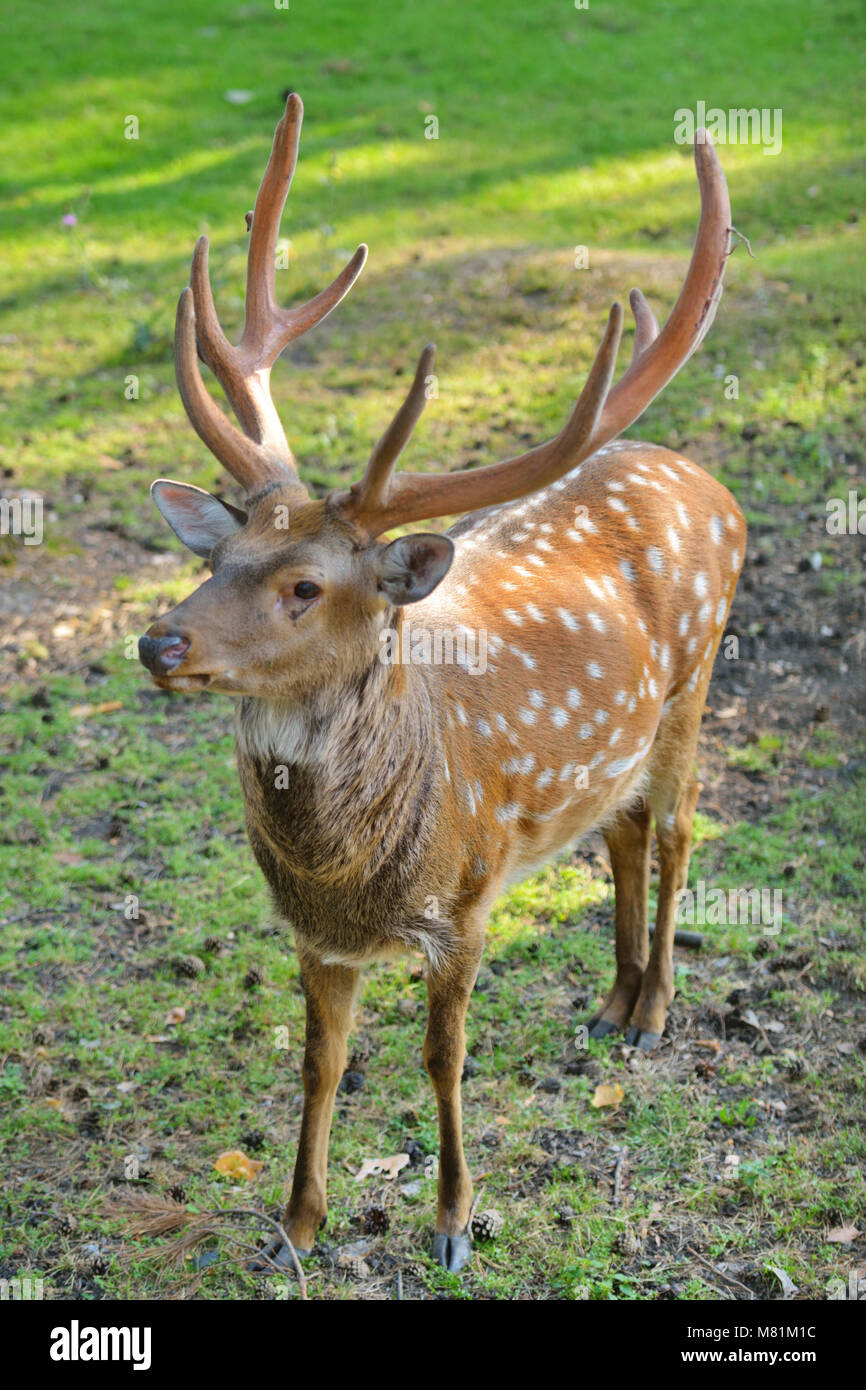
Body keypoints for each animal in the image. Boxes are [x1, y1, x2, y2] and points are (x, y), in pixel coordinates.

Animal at [138, 93, 744, 1274]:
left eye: (305, 585)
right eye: (216, 556)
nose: (158, 644)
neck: (349, 872)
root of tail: (703, 478)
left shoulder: (463, 899)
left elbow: (441, 1059)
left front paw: (456, 1223)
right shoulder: (315, 935)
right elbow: (320, 1063)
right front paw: (295, 1226)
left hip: (695, 681)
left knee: (680, 826)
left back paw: (652, 1007)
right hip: (612, 745)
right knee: (621, 829)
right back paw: (609, 1000)